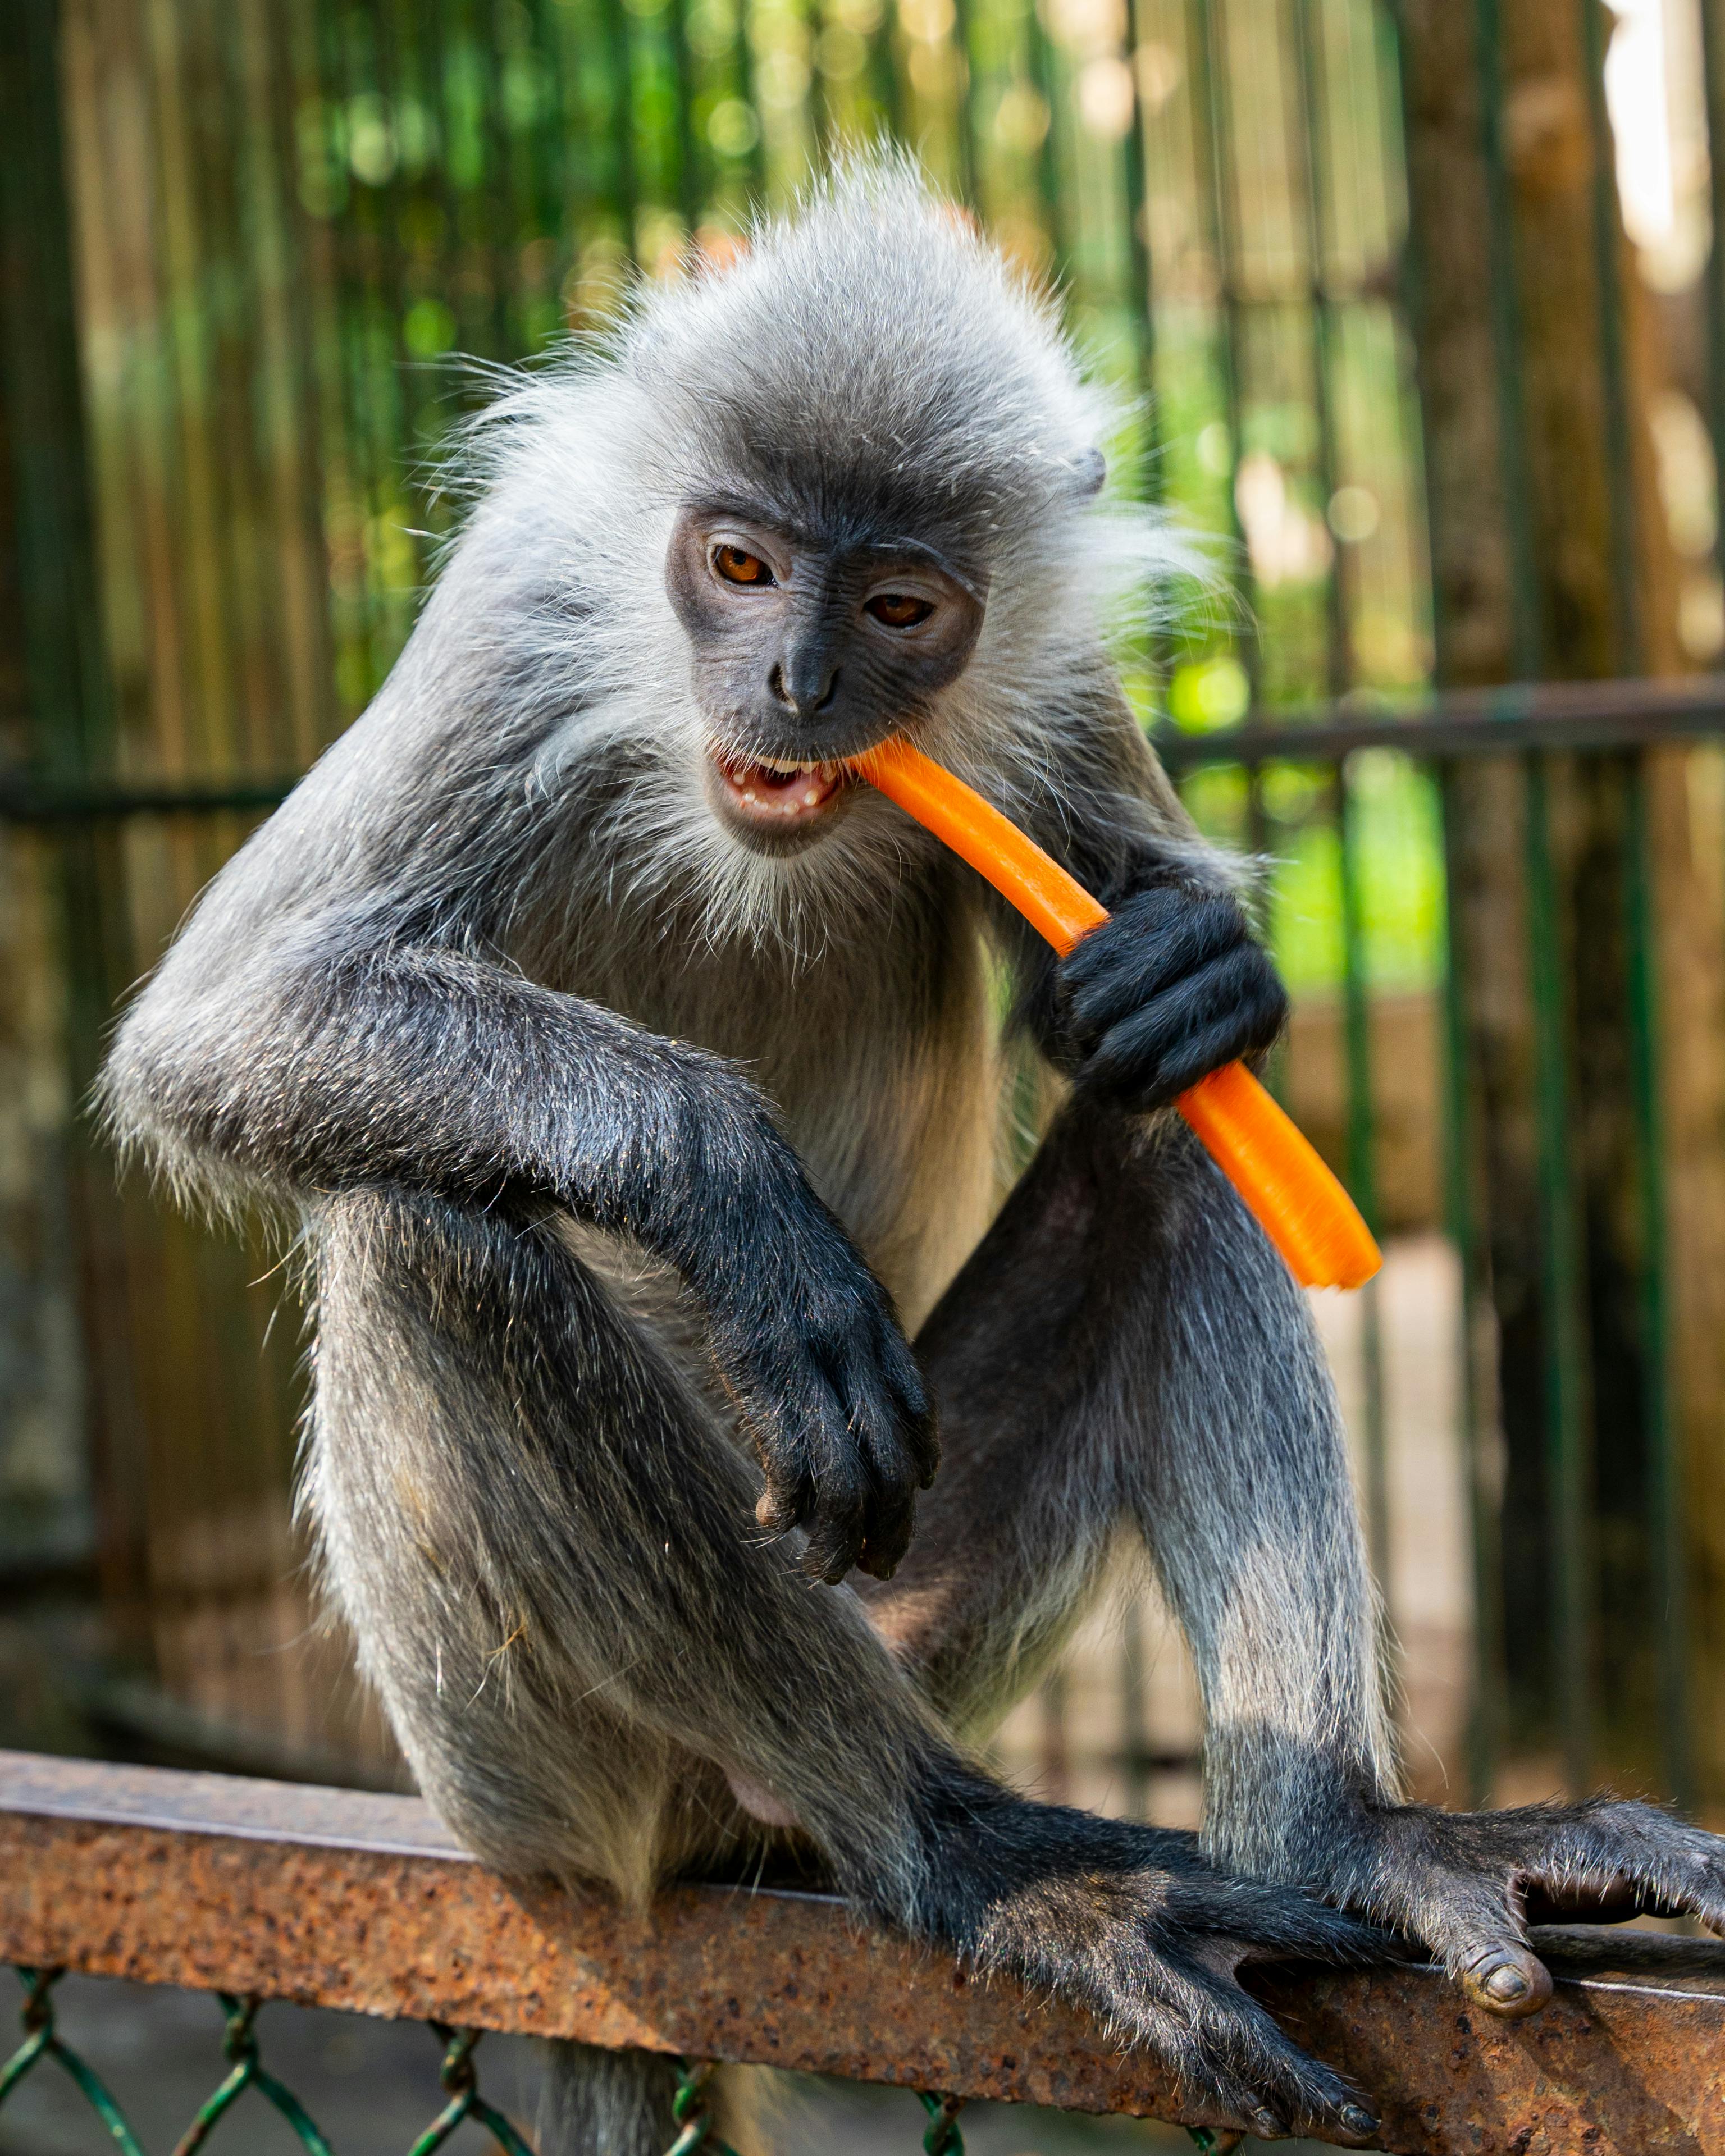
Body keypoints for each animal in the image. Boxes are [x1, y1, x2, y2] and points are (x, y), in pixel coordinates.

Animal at [101, 162, 1725, 2154]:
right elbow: (212, 1027)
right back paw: (989, 1858)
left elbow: (1173, 1016)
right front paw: (739, 1205)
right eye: (738, 569)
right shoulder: (517, 618)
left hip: (922, 1607)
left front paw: (1205, 970)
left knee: (1172, 1139)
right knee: (437, 1239)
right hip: (526, 1768)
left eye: (894, 603)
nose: (797, 680)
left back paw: (1349, 1840)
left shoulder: (1050, 663)